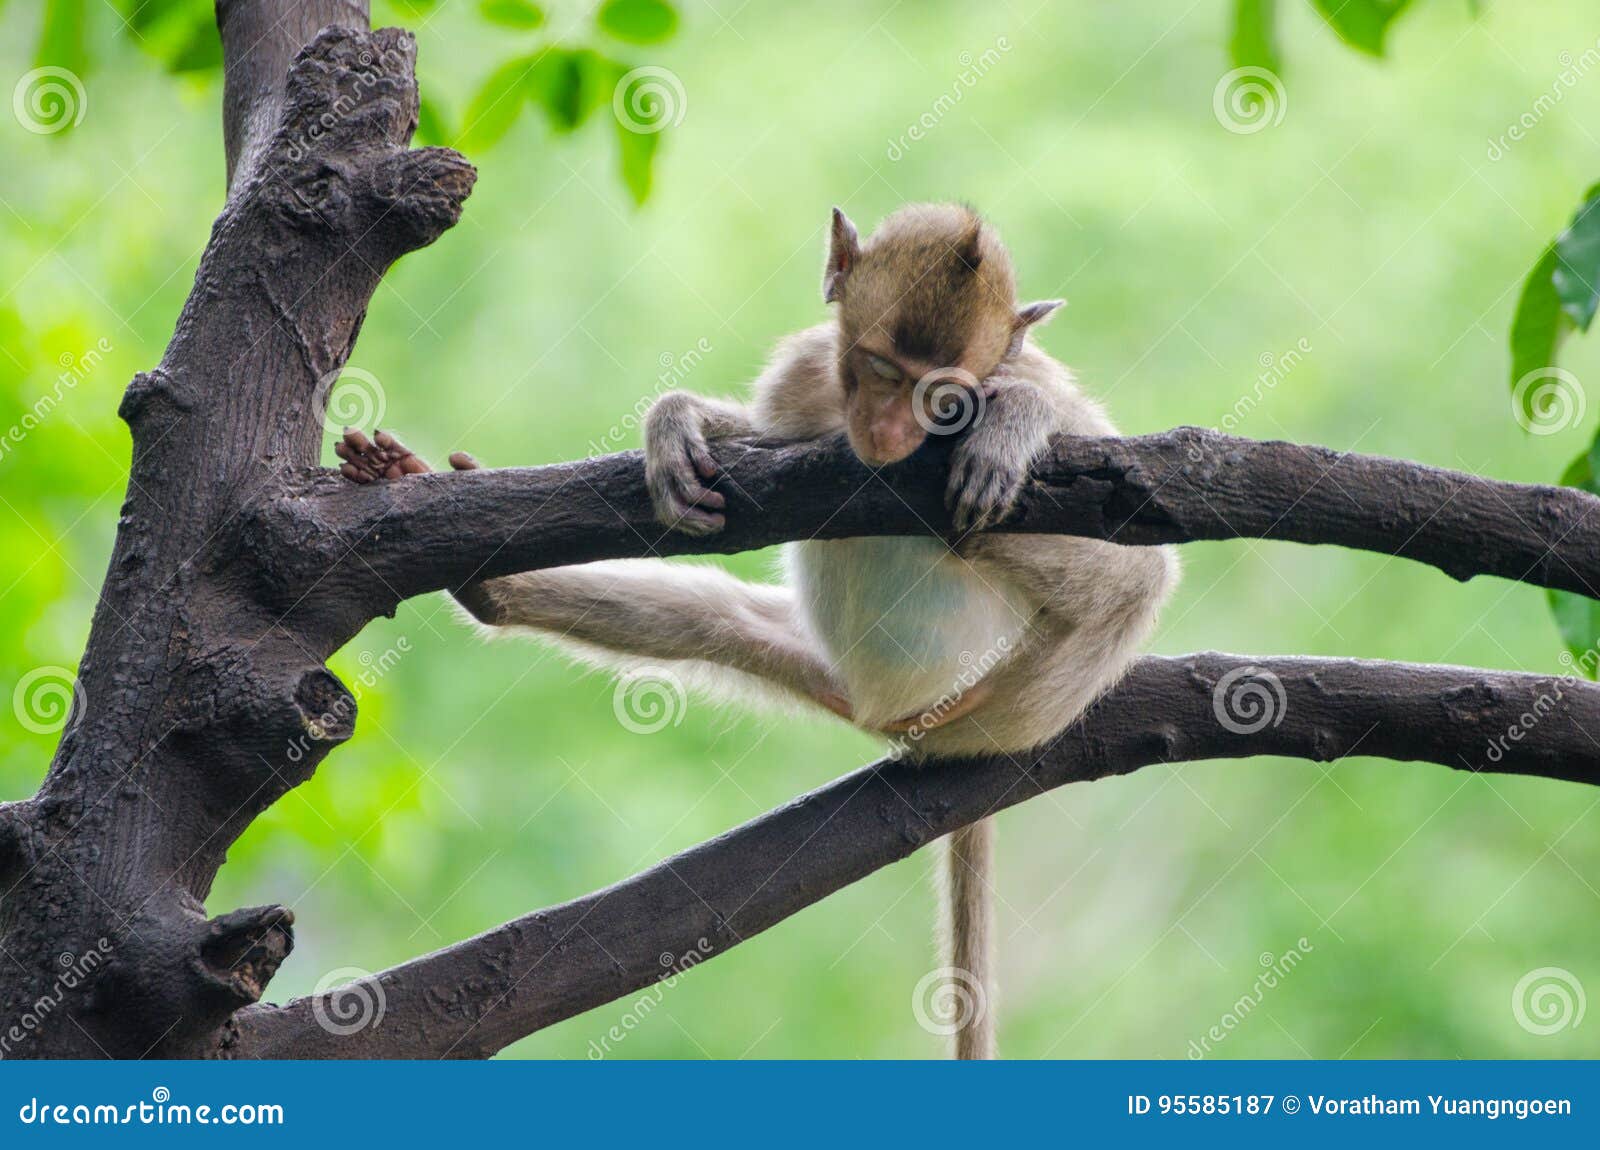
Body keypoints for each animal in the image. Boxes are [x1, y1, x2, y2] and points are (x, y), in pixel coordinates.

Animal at [336, 203, 1179, 1059]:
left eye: (942, 396)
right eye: (880, 368)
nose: (885, 432)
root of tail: (896, 713)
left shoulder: (1033, 382)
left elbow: (1126, 512)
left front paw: (1012, 424)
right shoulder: (804, 375)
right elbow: (761, 435)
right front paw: (677, 422)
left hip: (994, 699)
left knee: (1122, 582)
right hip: (829, 674)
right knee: (715, 620)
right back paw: (493, 588)